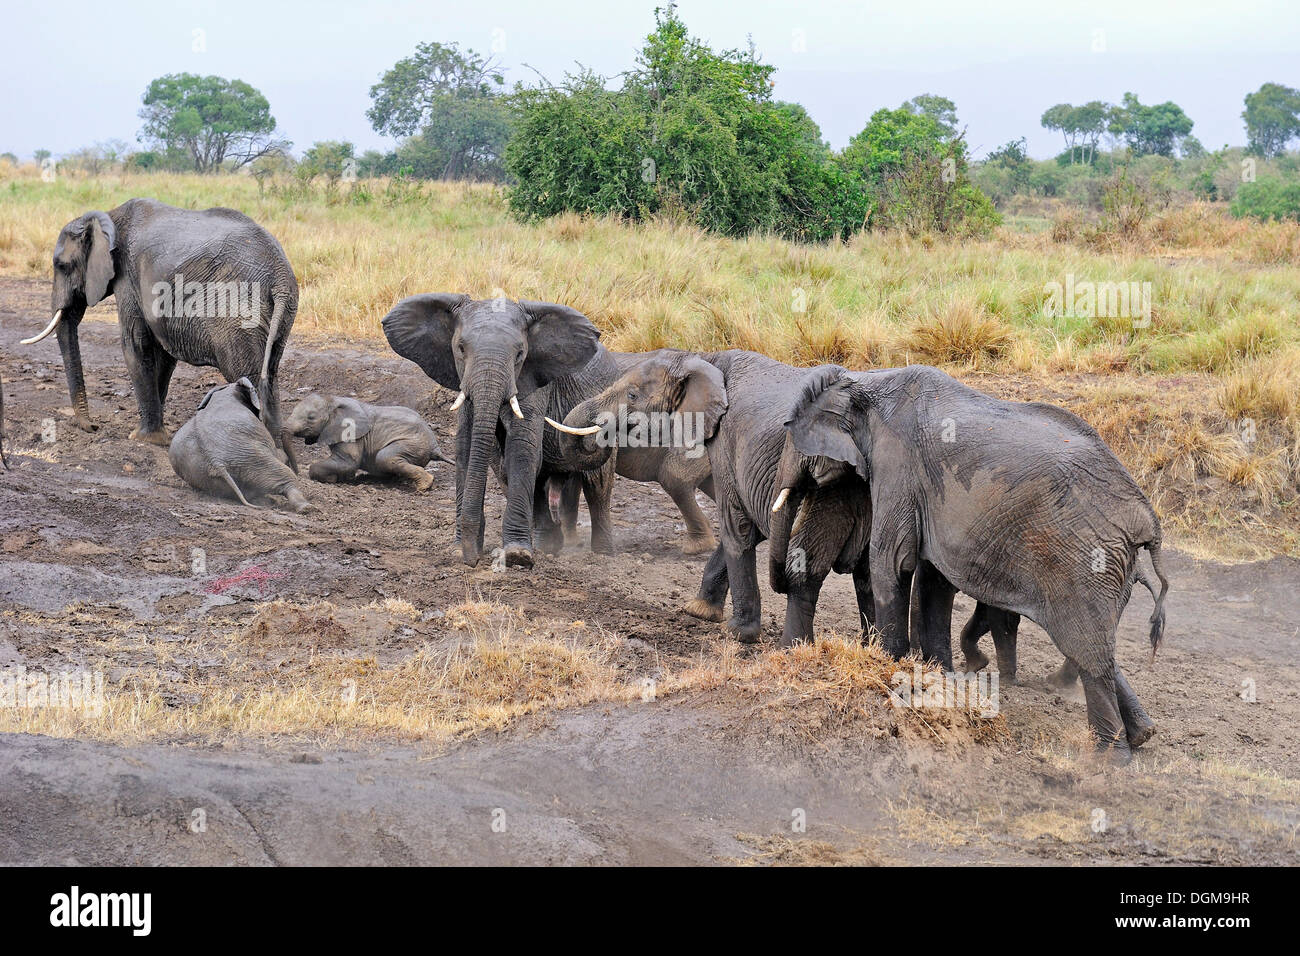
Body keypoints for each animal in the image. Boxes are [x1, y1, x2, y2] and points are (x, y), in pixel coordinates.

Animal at [22, 199, 299, 470]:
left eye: (61, 266)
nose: (93, 427)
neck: (109, 216)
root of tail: (280, 278)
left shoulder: (127, 278)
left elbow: (135, 345)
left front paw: (142, 439)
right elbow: (163, 356)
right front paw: (156, 437)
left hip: (238, 314)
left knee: (246, 376)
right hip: (281, 315)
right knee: (269, 376)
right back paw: (284, 459)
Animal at [169, 377, 315, 514]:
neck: (223, 393)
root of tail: (216, 462)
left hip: (202, 475)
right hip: (252, 458)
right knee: (285, 477)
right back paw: (306, 507)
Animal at [286, 394, 449, 492]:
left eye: (311, 417)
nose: (296, 473)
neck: (331, 400)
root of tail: (435, 447)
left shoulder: (352, 433)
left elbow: (349, 462)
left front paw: (331, 479)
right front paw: (344, 478)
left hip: (414, 444)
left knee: (384, 457)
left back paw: (424, 486)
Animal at [381, 293, 619, 568]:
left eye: (520, 354)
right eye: (460, 348)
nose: (473, 560)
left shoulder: (531, 382)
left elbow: (522, 450)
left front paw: (517, 556)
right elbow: (466, 450)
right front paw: (459, 550)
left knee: (597, 483)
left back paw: (602, 554)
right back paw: (548, 547)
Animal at [782, 363, 1169, 760]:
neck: (866, 380)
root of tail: (1146, 518)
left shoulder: (897, 464)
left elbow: (892, 560)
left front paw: (889, 668)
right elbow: (933, 579)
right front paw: (941, 679)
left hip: (1085, 561)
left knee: (1087, 650)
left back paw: (1110, 757)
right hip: (1109, 568)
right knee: (1095, 649)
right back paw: (1143, 735)